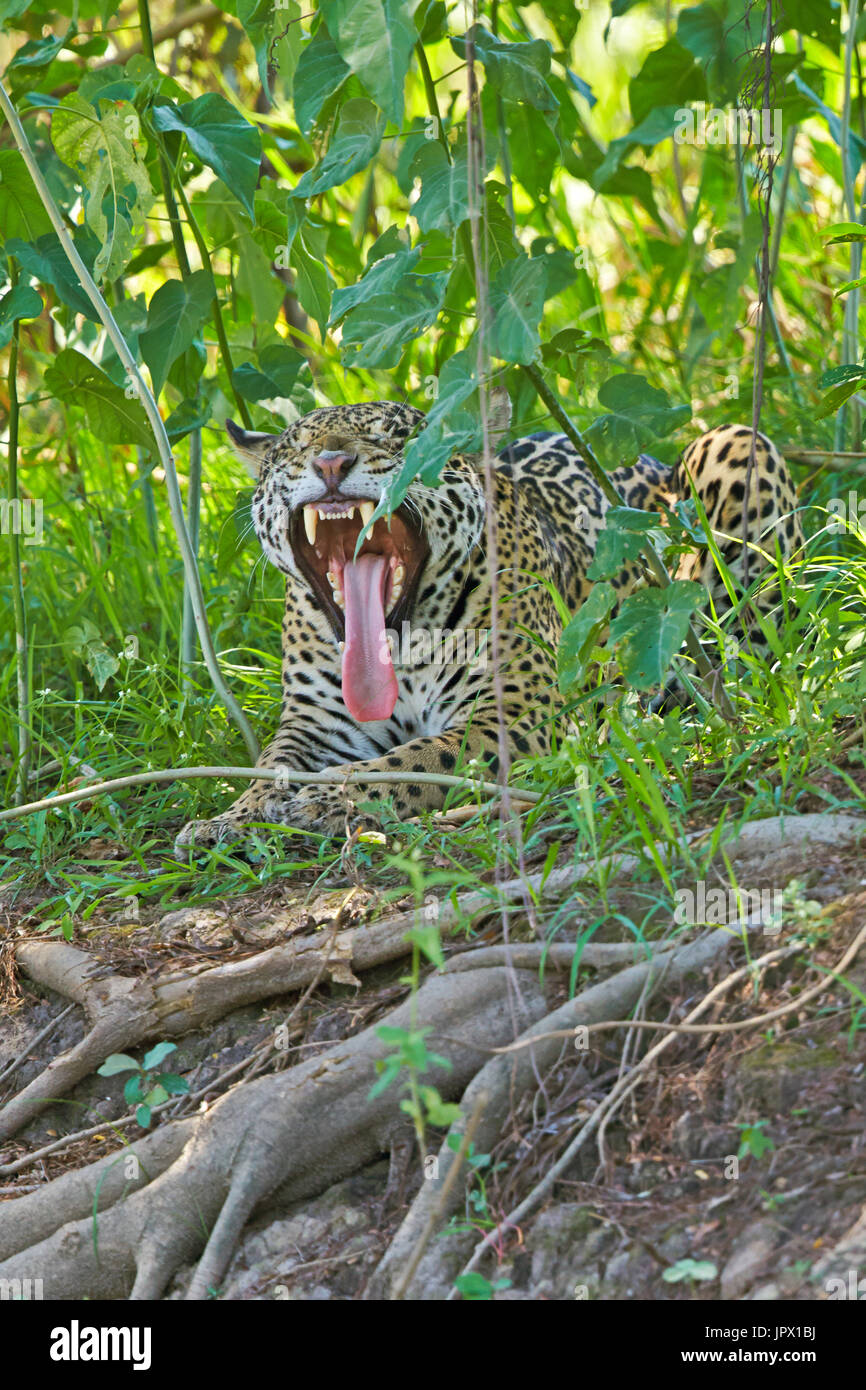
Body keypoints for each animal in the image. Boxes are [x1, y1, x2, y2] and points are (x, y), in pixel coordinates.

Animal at [174, 397, 803, 853]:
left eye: (395, 438)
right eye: (296, 448)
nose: (330, 464)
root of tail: (643, 460)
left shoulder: (521, 713)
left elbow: (417, 760)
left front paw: (328, 801)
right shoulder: (317, 724)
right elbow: (268, 767)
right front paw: (231, 818)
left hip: (736, 447)